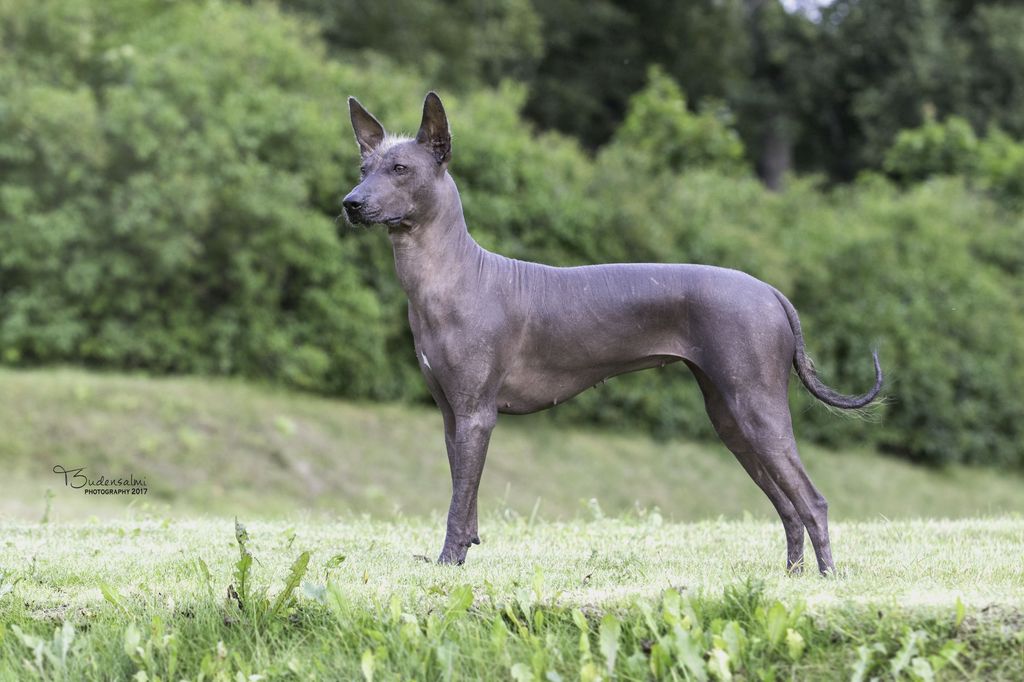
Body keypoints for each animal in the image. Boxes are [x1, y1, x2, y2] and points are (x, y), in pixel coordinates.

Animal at [342, 89, 880, 569]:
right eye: (364, 170)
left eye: (400, 169)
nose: (350, 203)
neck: (451, 274)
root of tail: (769, 291)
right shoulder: (452, 418)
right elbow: (464, 492)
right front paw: (463, 553)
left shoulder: (476, 415)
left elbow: (458, 503)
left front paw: (447, 562)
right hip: (730, 418)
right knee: (788, 505)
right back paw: (793, 578)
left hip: (758, 409)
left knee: (813, 501)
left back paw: (827, 581)